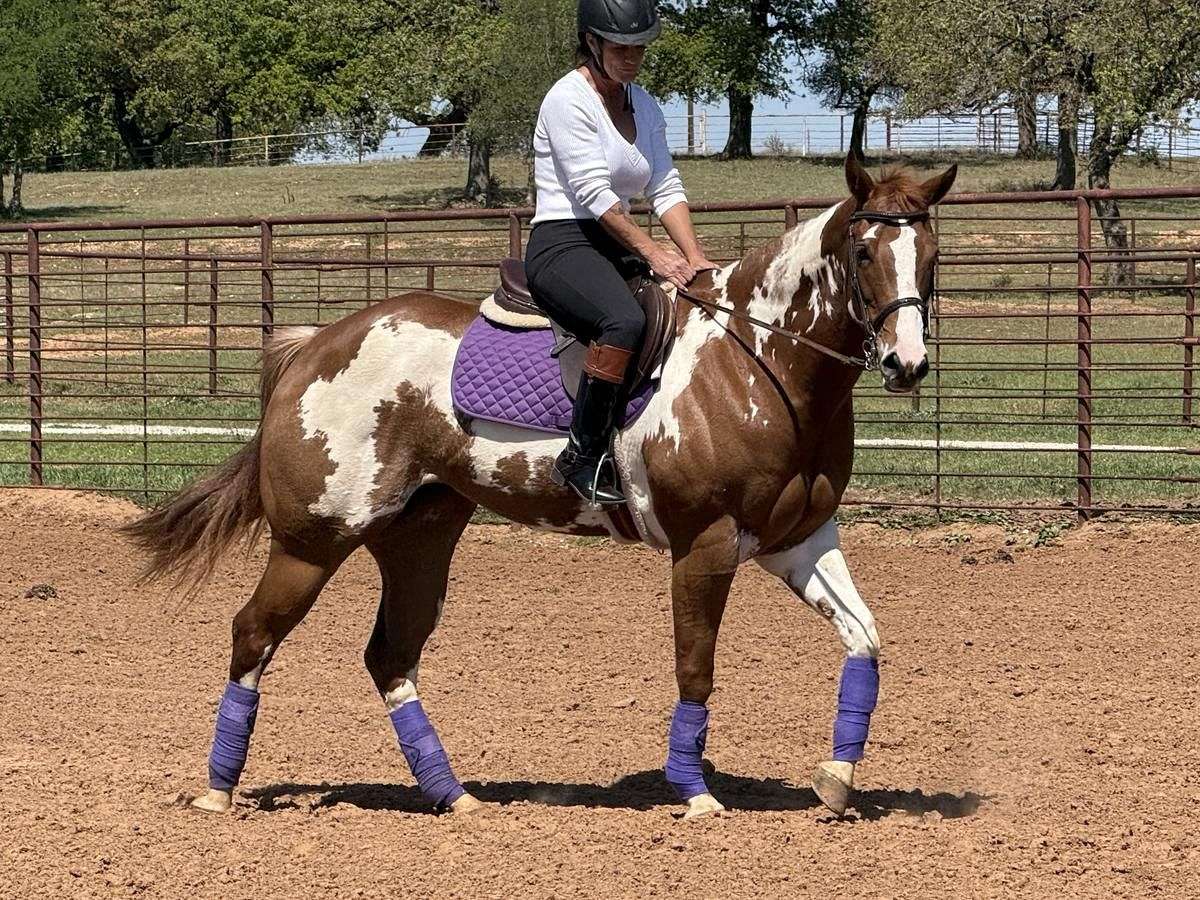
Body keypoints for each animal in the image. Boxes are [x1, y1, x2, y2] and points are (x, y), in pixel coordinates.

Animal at [122, 152, 957, 820]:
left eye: (929, 252)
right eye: (864, 250)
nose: (906, 363)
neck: (756, 357)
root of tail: (312, 346)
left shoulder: (798, 542)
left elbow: (865, 640)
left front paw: (837, 781)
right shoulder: (705, 546)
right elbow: (696, 667)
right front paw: (694, 796)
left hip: (418, 539)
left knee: (391, 657)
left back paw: (452, 795)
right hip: (313, 541)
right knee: (253, 635)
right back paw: (218, 791)